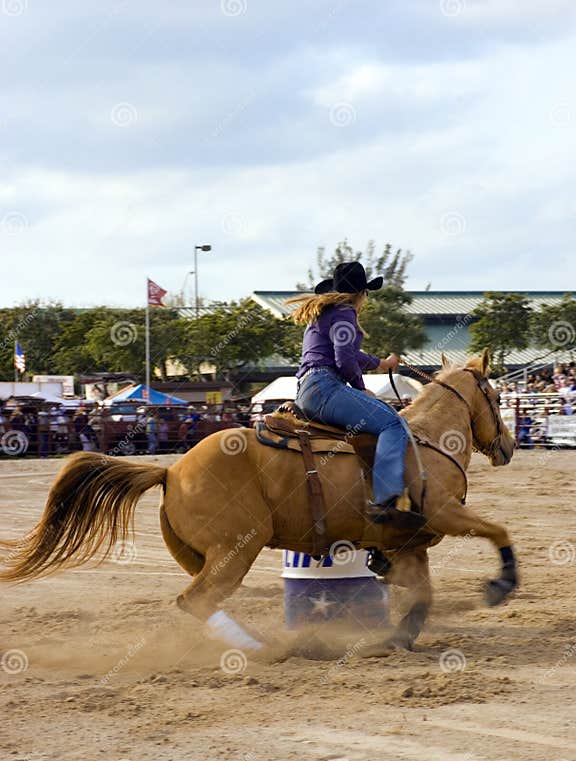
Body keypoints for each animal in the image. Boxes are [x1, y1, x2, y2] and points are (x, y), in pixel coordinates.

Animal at [0, 351, 517, 656]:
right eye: (495, 396)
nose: (509, 445)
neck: (428, 441)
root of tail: (171, 471)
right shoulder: (444, 513)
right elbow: (498, 530)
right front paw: (501, 586)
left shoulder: (407, 545)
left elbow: (423, 595)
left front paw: (396, 638)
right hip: (235, 551)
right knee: (196, 601)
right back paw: (263, 650)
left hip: (205, 556)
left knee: (199, 603)